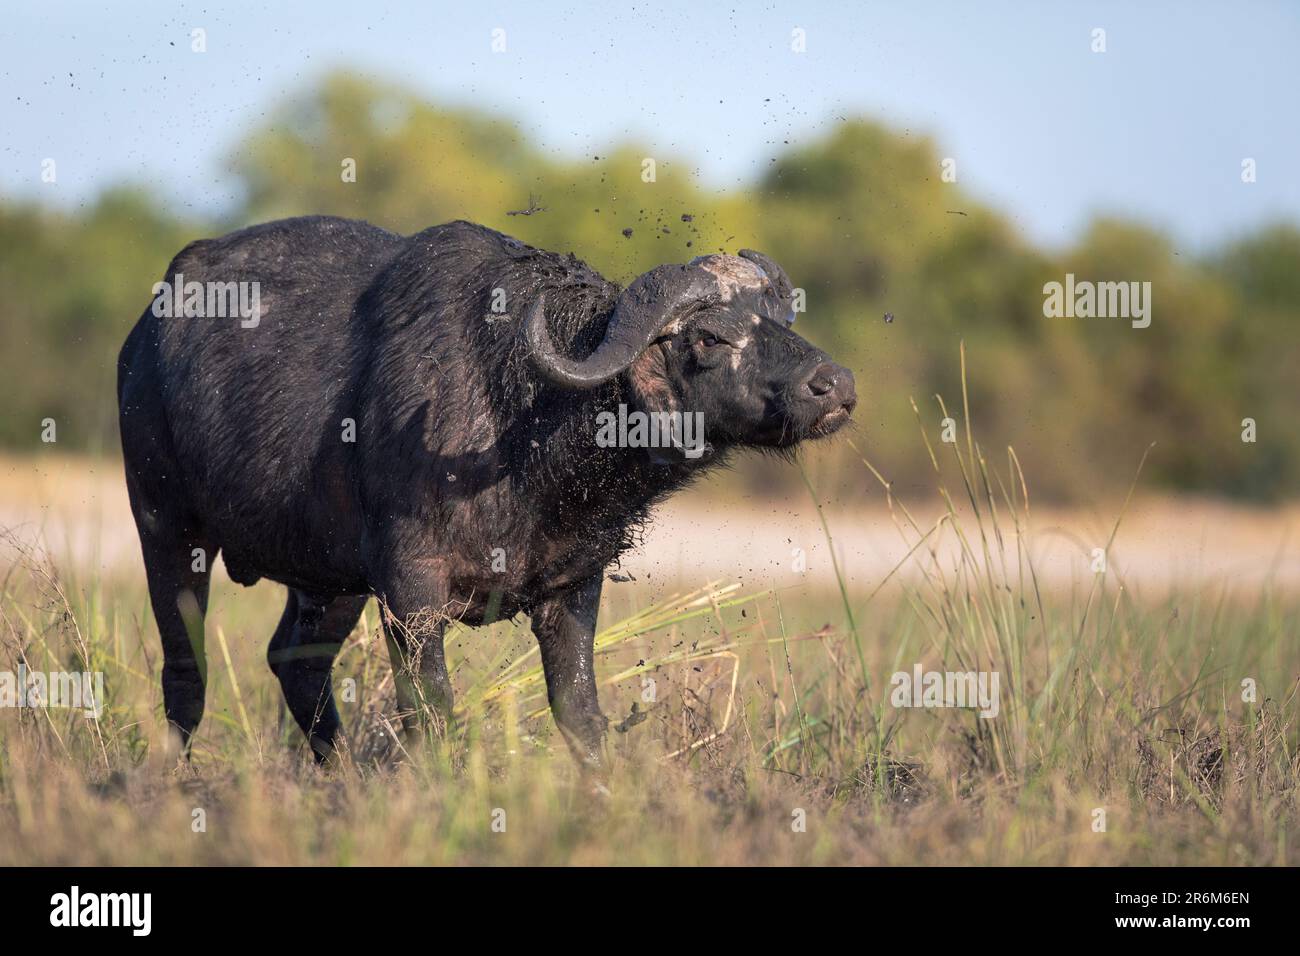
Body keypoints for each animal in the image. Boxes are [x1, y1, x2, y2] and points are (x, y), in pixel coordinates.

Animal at [117, 217, 856, 766]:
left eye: (779, 320)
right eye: (710, 336)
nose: (836, 385)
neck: (523, 421)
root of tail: (148, 329)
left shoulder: (572, 587)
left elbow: (580, 714)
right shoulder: (410, 592)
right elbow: (430, 712)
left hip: (329, 577)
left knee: (296, 664)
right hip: (166, 529)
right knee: (186, 671)